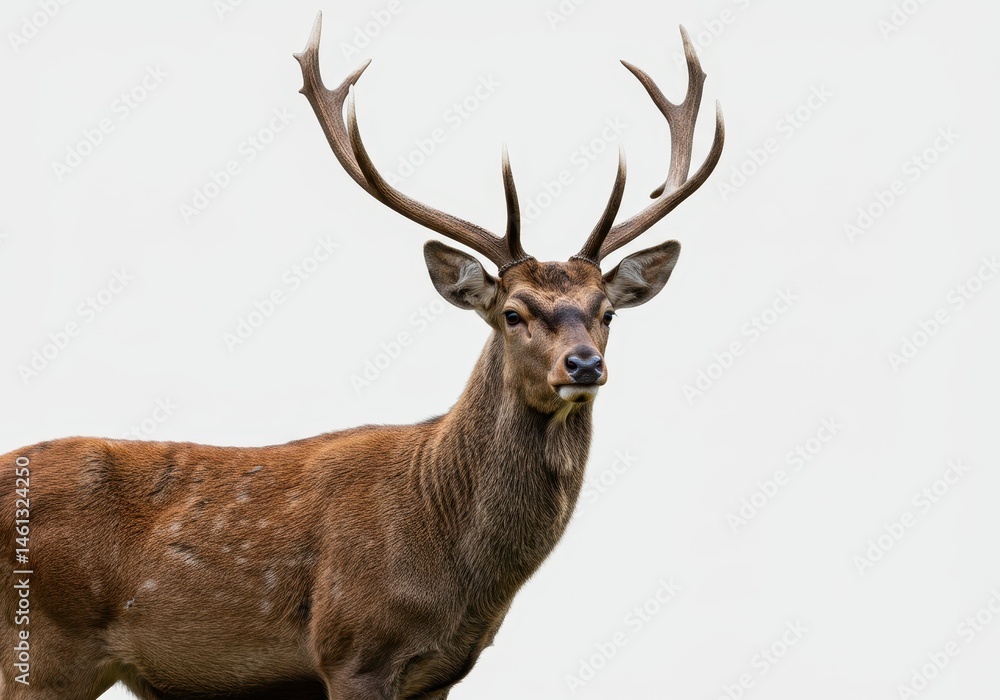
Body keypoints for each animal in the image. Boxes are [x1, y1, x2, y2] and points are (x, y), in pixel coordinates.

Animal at [0, 13, 723, 700]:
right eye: (513, 313)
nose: (584, 365)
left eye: (608, 313)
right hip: (40, 650)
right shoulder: (352, 648)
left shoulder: (439, 675)